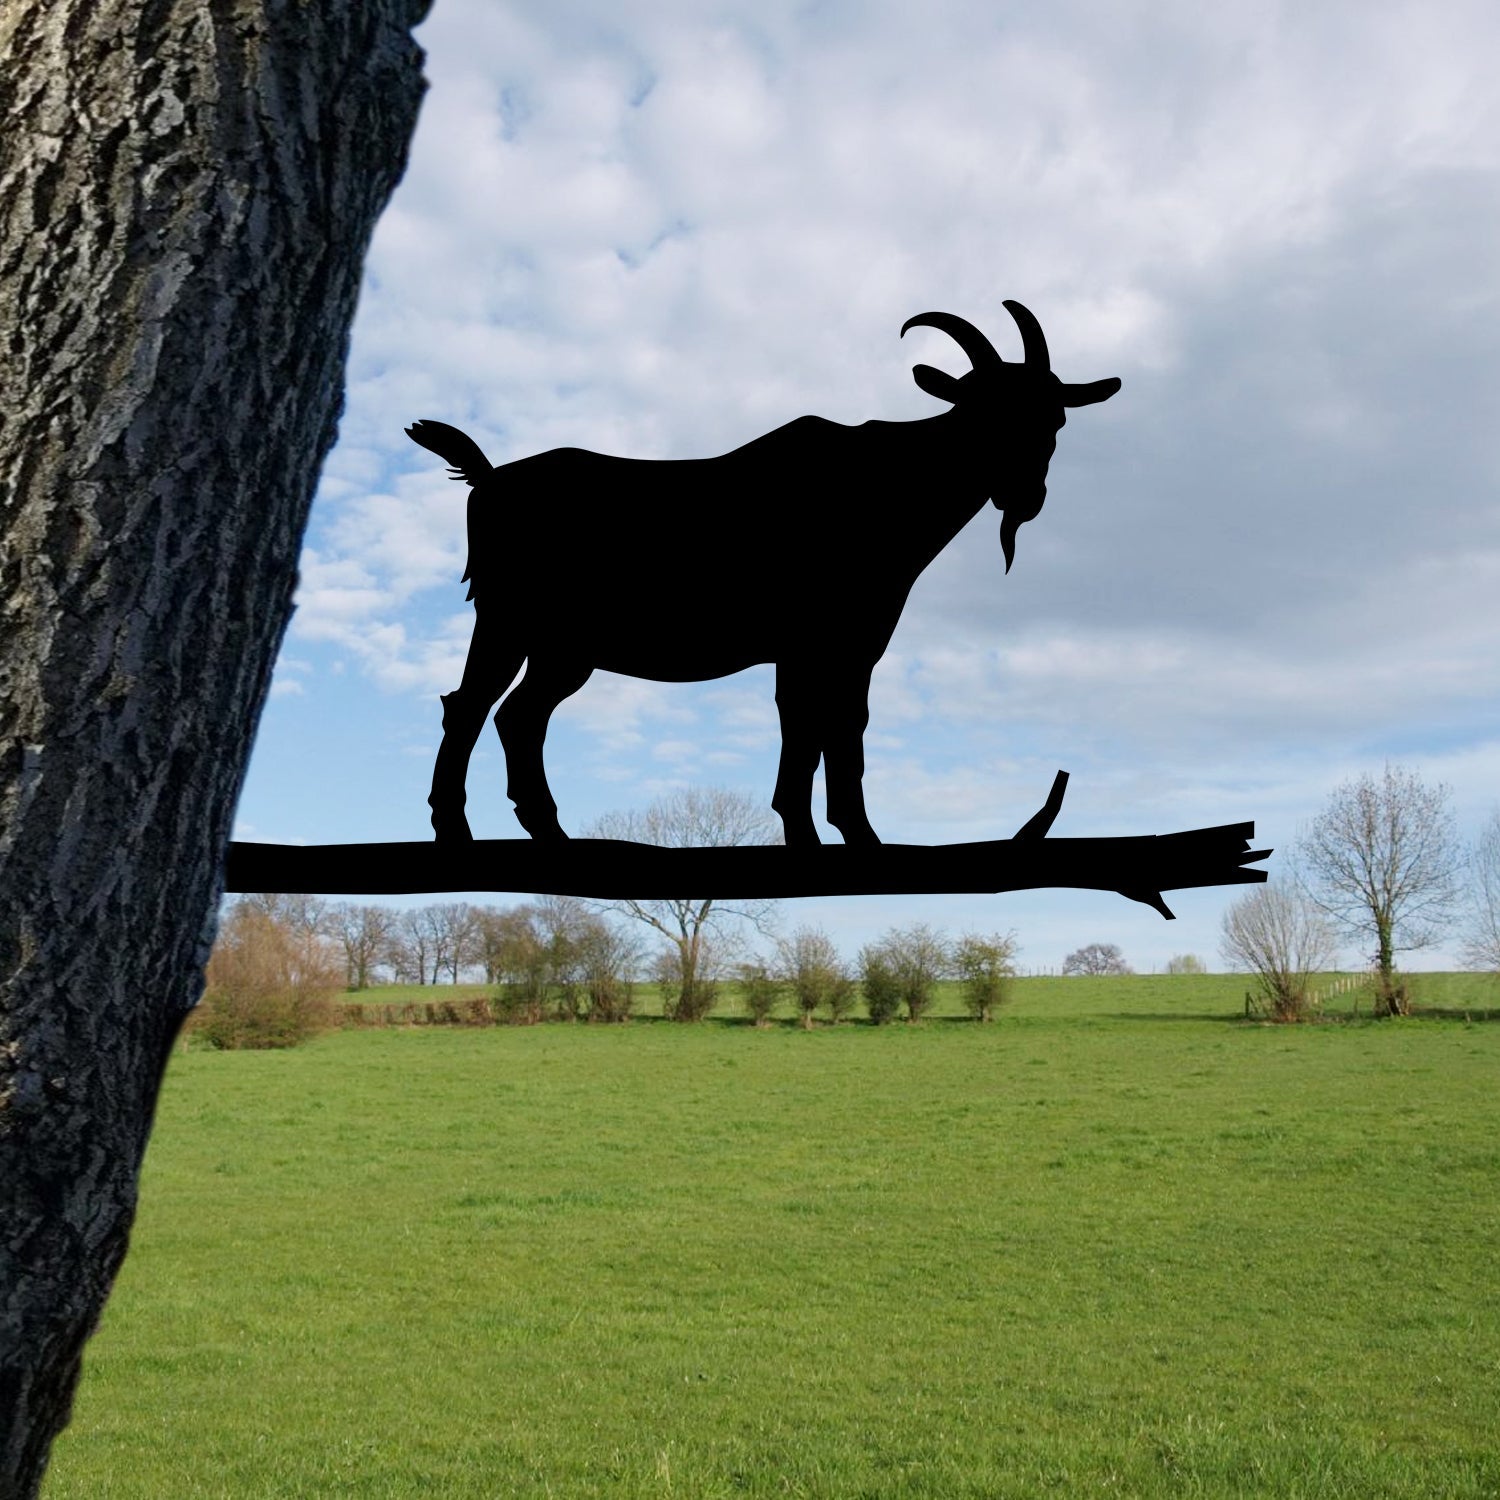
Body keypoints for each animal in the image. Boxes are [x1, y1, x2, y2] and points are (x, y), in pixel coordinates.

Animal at [407, 302, 1119, 848]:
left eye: (1054, 417)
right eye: (982, 413)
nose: (1025, 496)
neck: (886, 487)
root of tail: (489, 478)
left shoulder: (833, 648)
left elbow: (823, 728)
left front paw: (826, 835)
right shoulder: (821, 645)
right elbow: (823, 728)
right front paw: (838, 836)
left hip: (564, 648)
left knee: (518, 715)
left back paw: (549, 831)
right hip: (508, 616)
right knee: (470, 704)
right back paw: (455, 829)